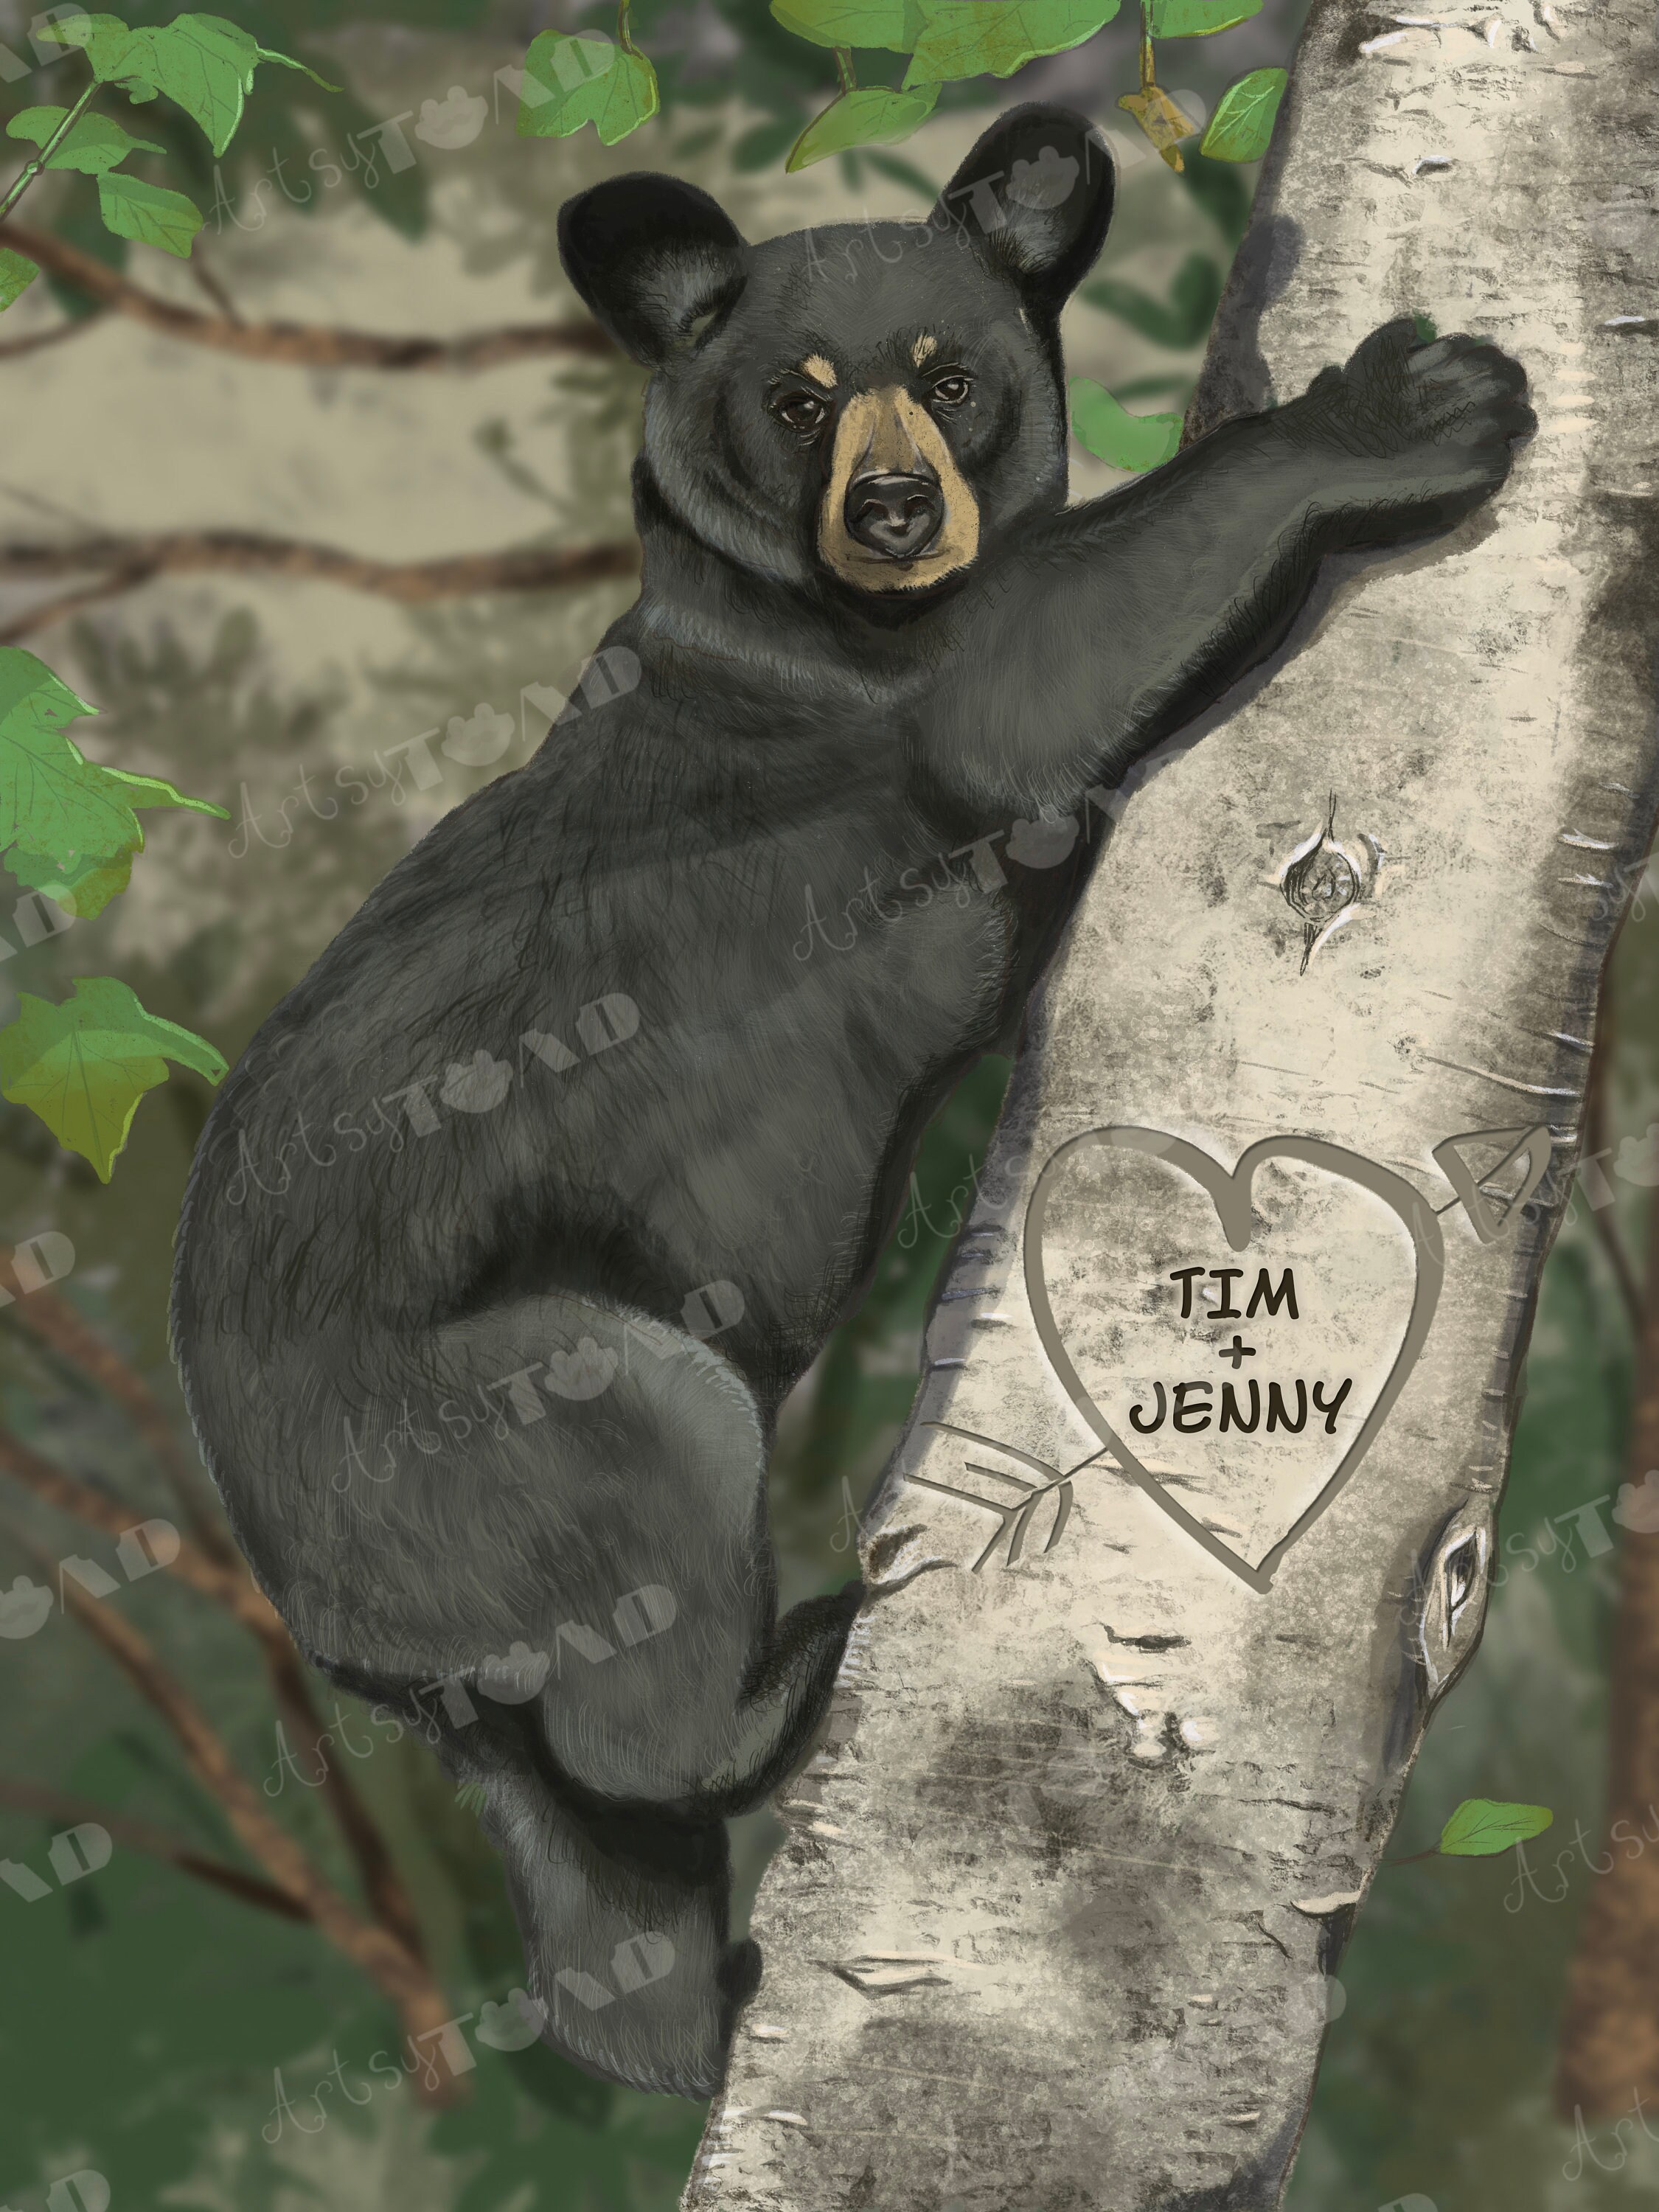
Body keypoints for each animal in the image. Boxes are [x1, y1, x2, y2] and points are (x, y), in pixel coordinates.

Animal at [169, 101, 1533, 2100]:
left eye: (947, 373)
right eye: (797, 400)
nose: (892, 511)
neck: (802, 603)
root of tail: (315, 1609)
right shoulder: (873, 701)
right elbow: (1032, 665)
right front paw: (1418, 399)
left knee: (608, 1875)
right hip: (481, 1419)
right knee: (641, 1507)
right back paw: (803, 1659)